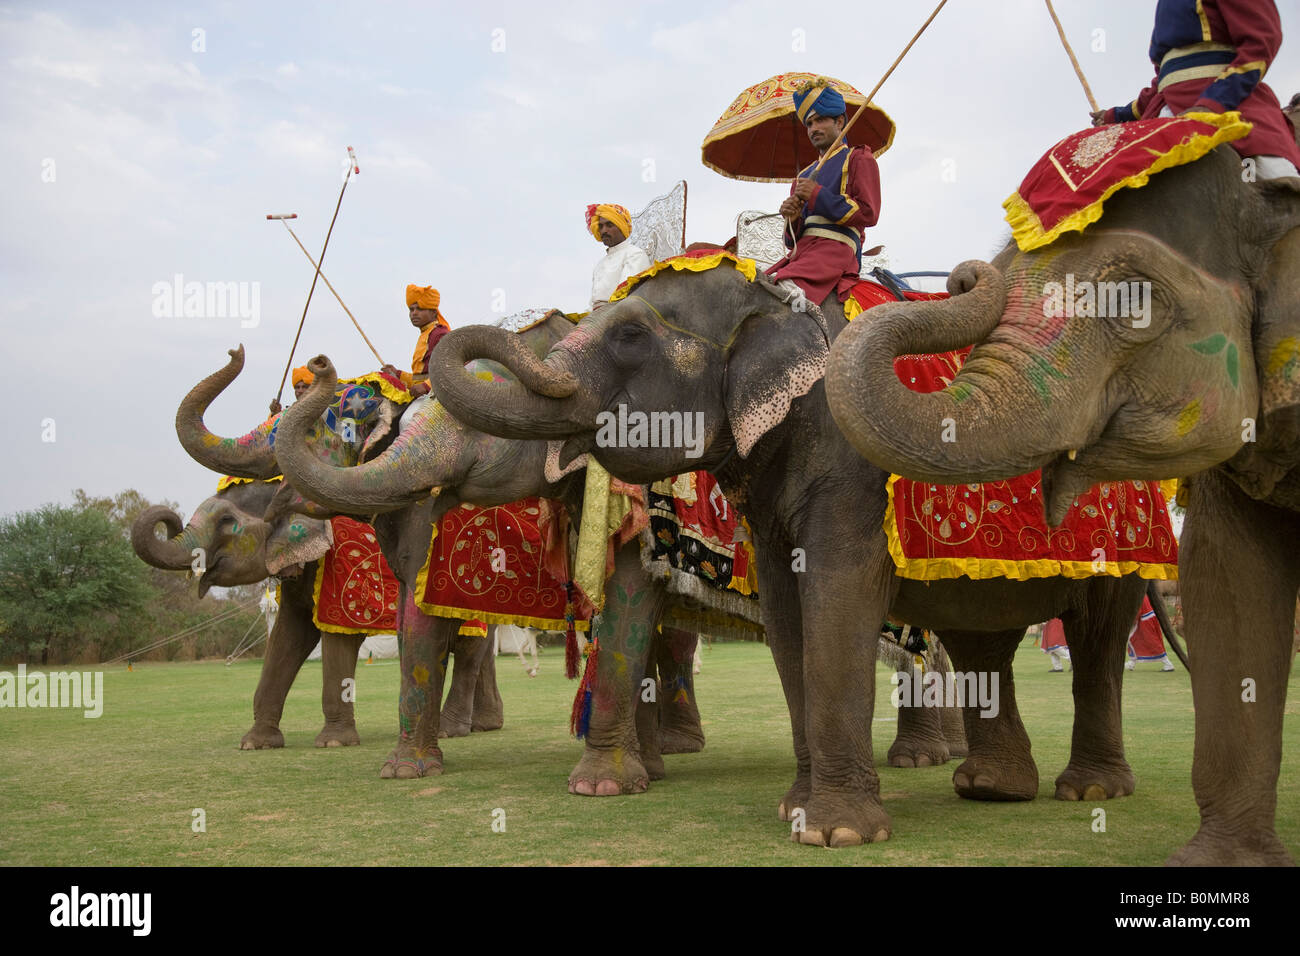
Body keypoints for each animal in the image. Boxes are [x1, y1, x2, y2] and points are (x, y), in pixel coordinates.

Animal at [427, 258, 1167, 848]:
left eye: (630, 335)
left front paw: (836, 833)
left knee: (1098, 637)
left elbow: (837, 593)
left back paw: (1090, 792)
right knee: (981, 636)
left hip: (1125, 529)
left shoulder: (850, 456)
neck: (777, 303)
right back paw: (992, 787)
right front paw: (796, 809)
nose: (966, 278)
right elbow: (789, 616)